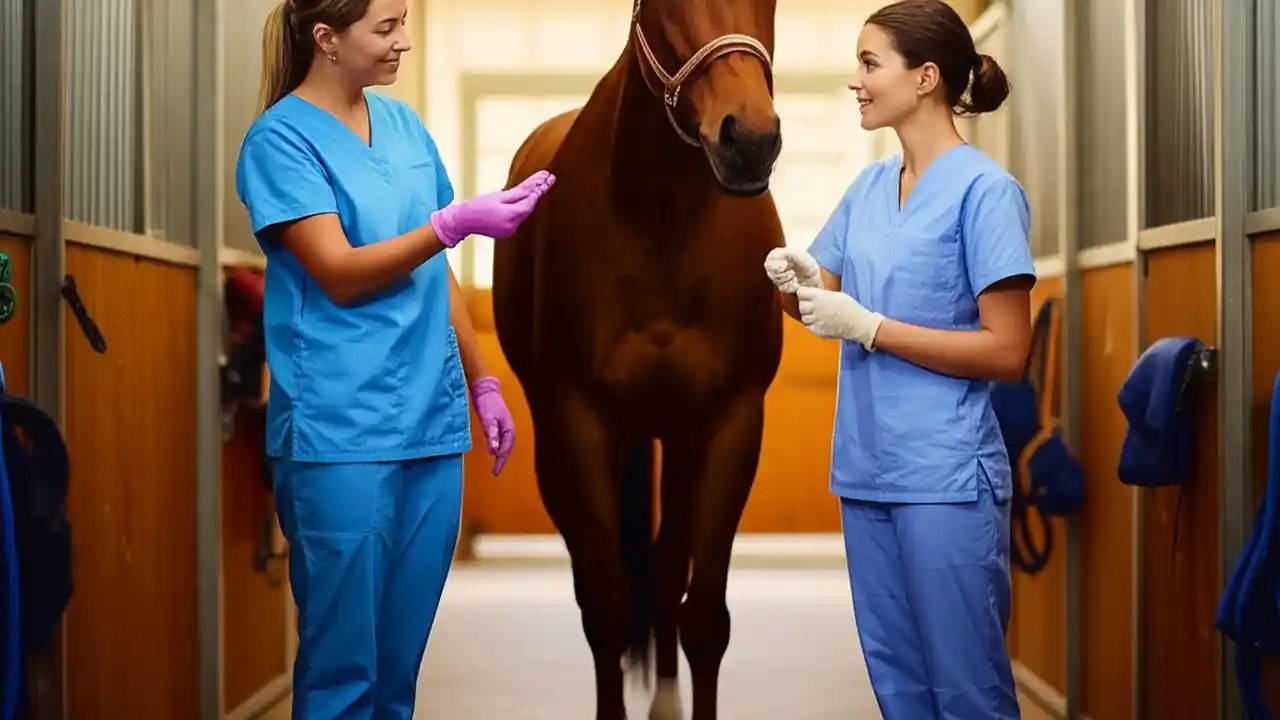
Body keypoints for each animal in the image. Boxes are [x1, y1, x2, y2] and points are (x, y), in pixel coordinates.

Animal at [492, 1, 784, 718]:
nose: (749, 139)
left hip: (676, 439)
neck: (661, 226)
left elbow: (703, 617)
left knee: (668, 568)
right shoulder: (581, 422)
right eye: (661, 5)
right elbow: (606, 608)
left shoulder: (729, 422)